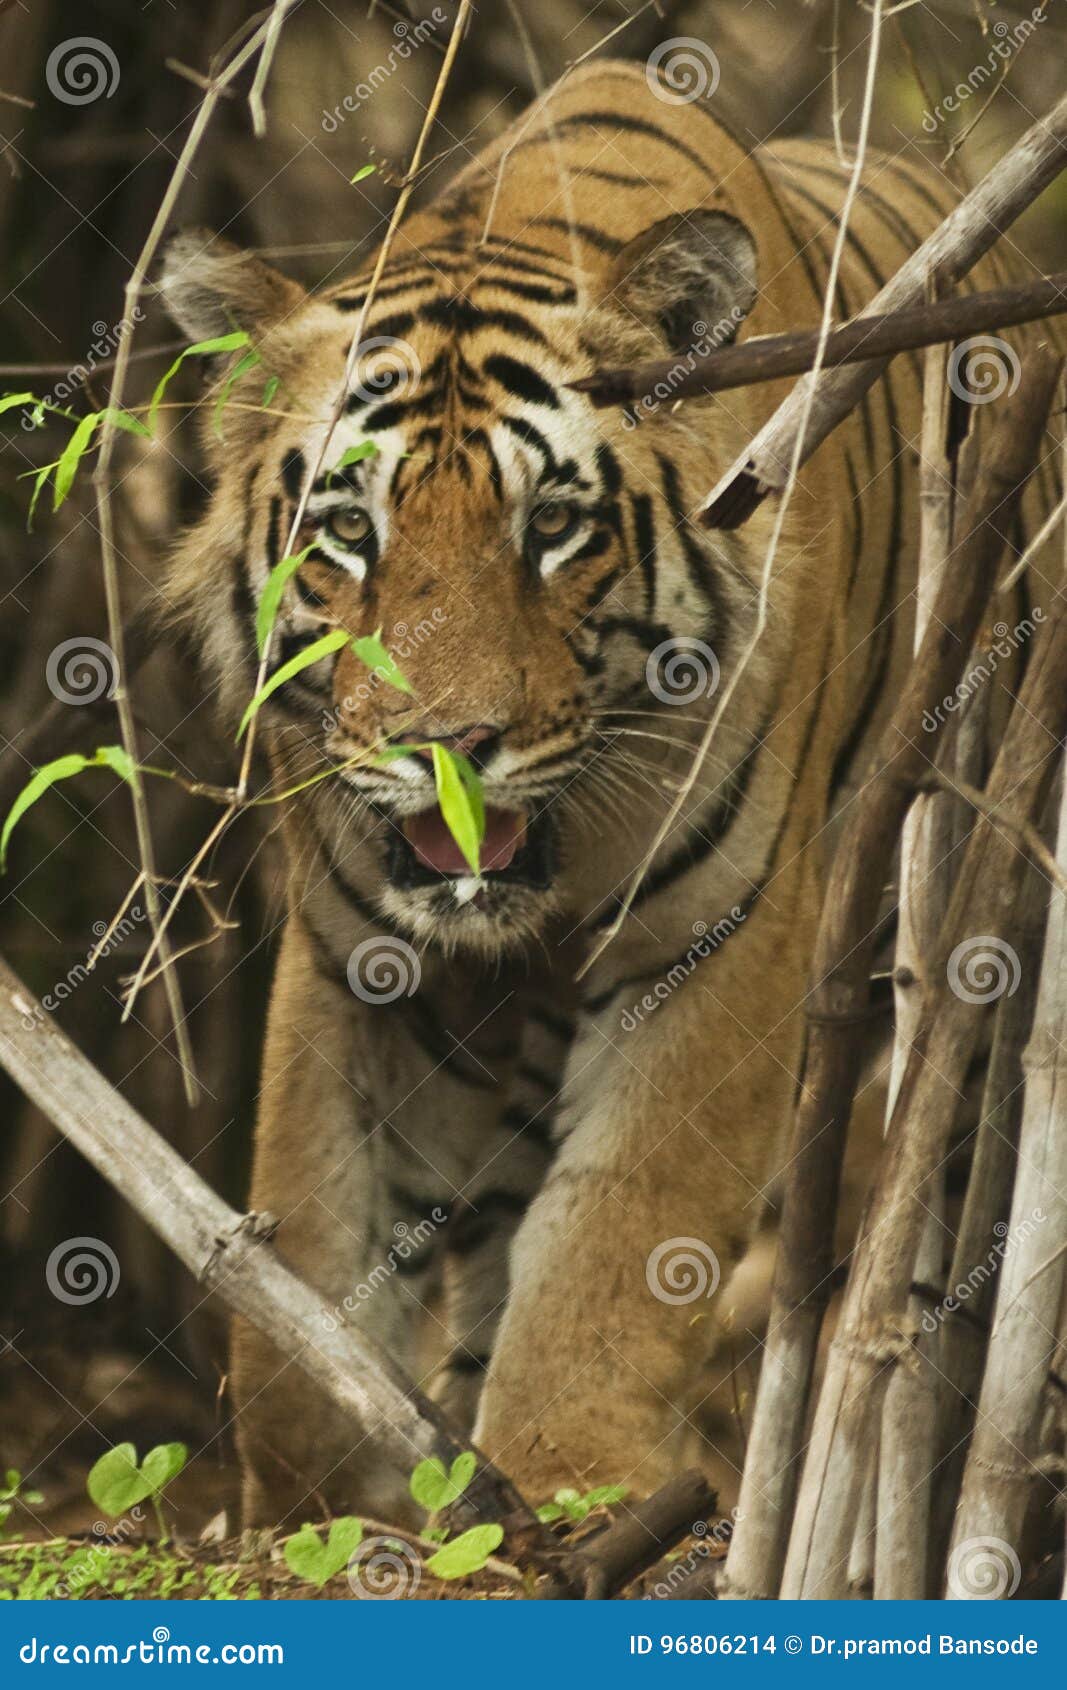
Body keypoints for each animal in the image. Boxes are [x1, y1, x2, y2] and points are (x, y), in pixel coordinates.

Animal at [158, 58, 1057, 1528]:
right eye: (346, 529)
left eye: (552, 527)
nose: (447, 742)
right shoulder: (355, 952)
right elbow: (308, 1226)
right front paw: (320, 1503)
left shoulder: (719, 935)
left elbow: (619, 1236)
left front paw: (573, 1480)